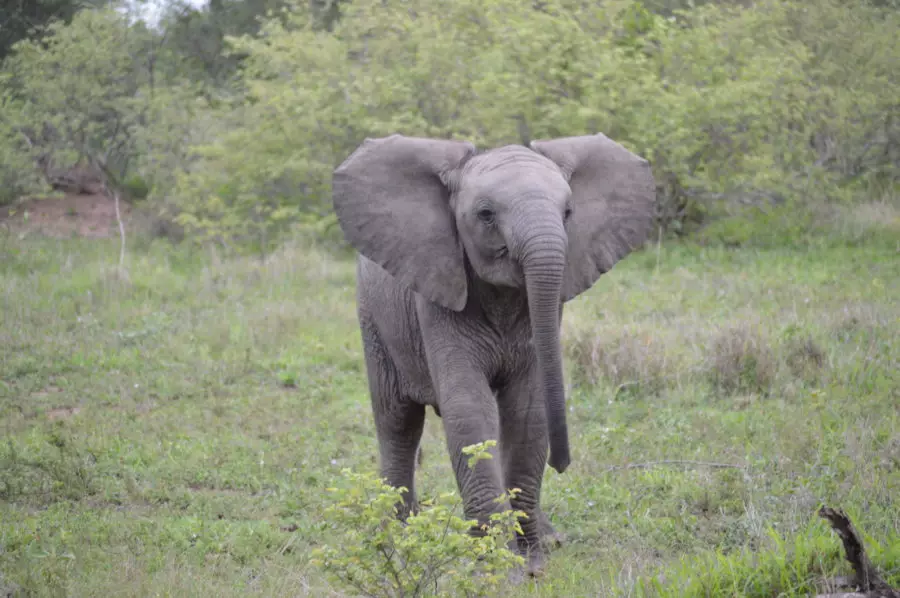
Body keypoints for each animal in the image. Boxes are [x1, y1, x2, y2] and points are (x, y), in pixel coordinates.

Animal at [330, 132, 652, 576]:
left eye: (569, 212)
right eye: (485, 215)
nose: (562, 464)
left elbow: (528, 411)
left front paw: (533, 557)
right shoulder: (437, 294)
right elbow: (469, 409)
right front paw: (498, 567)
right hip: (373, 318)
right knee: (397, 421)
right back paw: (396, 539)